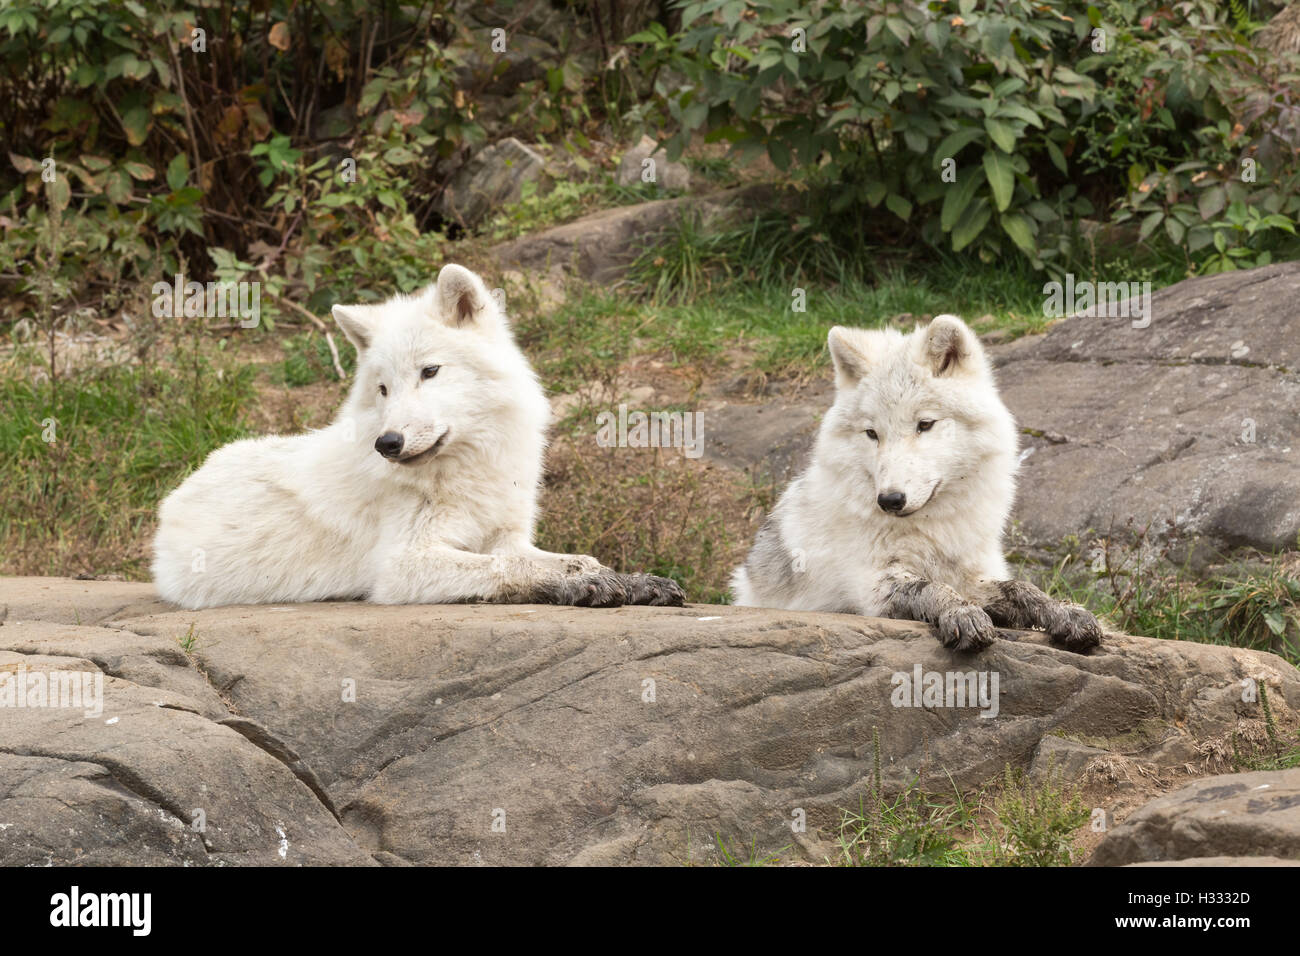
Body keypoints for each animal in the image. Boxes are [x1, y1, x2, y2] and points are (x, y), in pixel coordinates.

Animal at [152, 264, 685, 610]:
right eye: (383, 389)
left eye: (430, 372)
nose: (387, 443)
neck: (468, 471)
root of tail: (182, 486)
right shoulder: (401, 566)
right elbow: (506, 571)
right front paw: (580, 588)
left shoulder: (507, 537)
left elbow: (577, 558)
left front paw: (632, 580)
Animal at [731, 315, 1101, 653]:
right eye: (872, 433)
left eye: (925, 424)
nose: (890, 499)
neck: (933, 531)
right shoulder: (873, 586)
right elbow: (929, 588)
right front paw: (962, 614)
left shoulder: (973, 573)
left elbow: (1021, 588)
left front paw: (1066, 613)